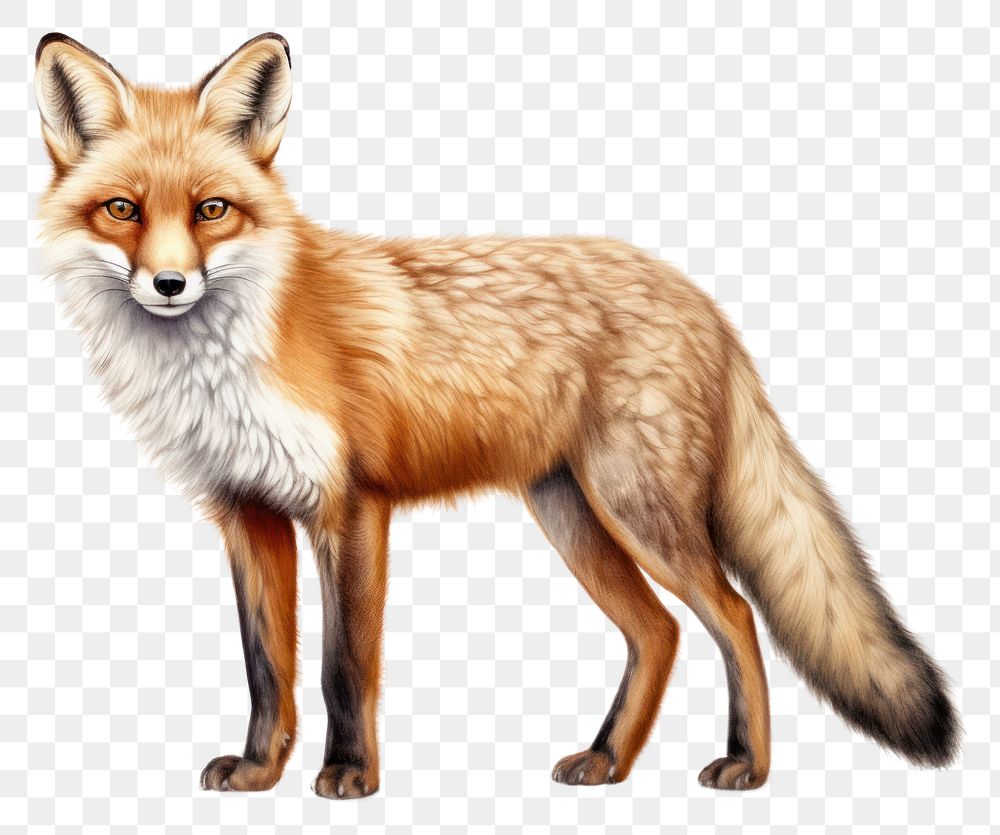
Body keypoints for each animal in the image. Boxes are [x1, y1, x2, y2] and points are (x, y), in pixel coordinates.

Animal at [33, 31, 959, 797]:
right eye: (123, 210)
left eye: (211, 210)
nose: (169, 284)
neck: (232, 361)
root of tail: (702, 300)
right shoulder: (247, 510)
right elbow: (268, 669)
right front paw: (261, 772)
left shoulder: (352, 505)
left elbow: (343, 665)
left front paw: (350, 775)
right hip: (571, 514)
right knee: (659, 630)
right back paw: (609, 758)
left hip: (638, 508)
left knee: (733, 615)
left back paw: (749, 765)